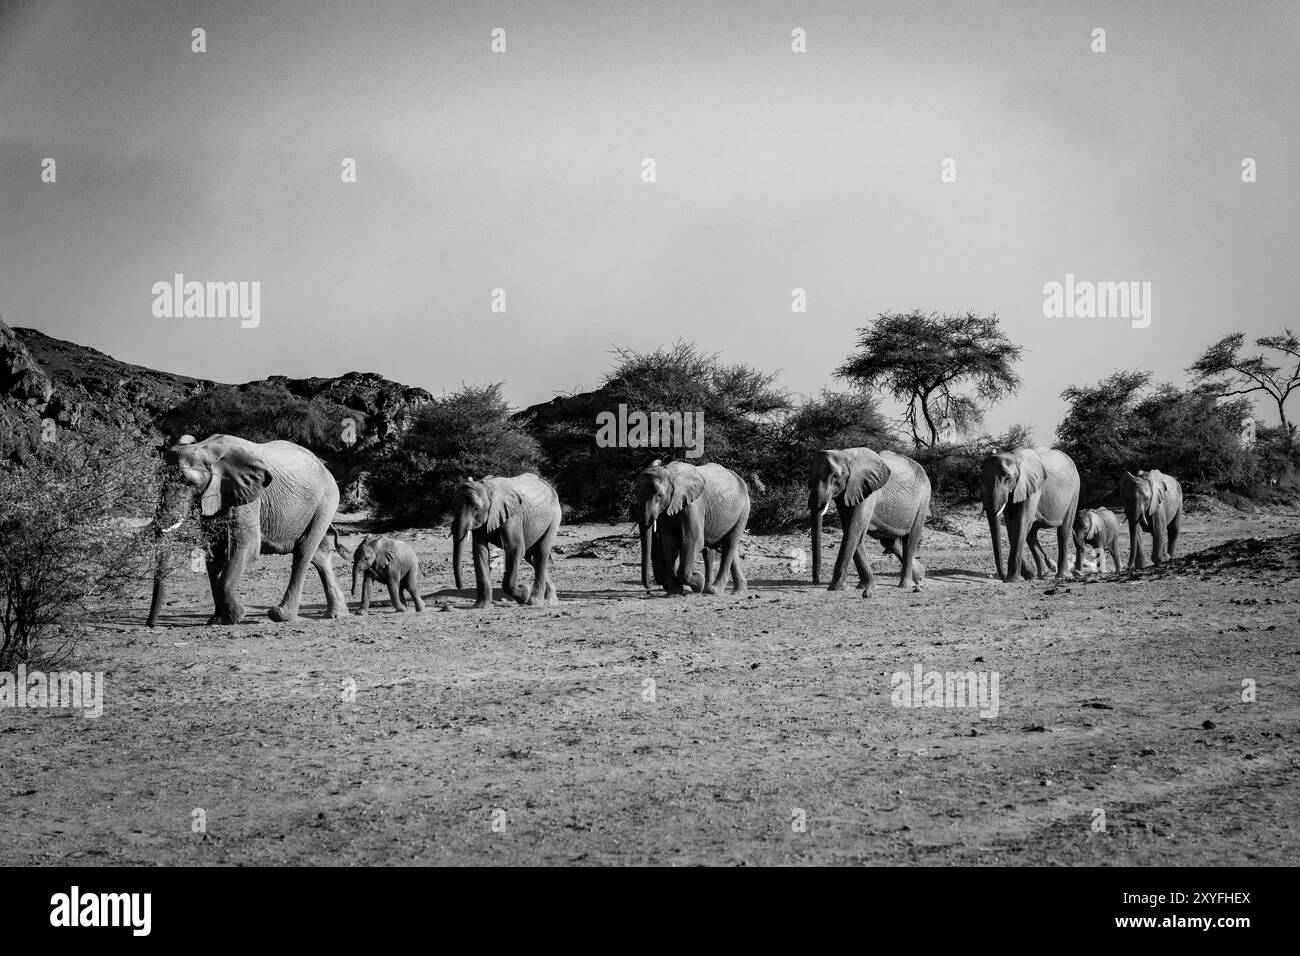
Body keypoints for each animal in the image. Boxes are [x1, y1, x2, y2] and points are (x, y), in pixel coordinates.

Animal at [146, 434, 350, 625]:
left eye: (188, 482)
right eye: (158, 478)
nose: (151, 625)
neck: (206, 448)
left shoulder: (249, 494)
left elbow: (247, 545)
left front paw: (237, 616)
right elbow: (214, 552)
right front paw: (217, 621)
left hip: (326, 502)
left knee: (304, 551)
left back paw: (281, 615)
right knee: (318, 554)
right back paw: (336, 614)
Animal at [452, 473, 561, 609]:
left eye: (476, 508)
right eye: (453, 507)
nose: (460, 587)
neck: (486, 487)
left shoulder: (512, 514)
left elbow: (514, 549)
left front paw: (524, 593)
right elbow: (480, 551)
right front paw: (481, 607)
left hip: (554, 518)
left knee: (541, 553)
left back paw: (535, 602)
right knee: (531, 557)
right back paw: (550, 602)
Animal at [635, 459, 749, 596]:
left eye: (659, 495)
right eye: (636, 494)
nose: (649, 588)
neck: (669, 472)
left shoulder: (694, 504)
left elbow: (693, 540)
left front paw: (698, 581)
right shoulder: (667, 509)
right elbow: (669, 543)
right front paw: (675, 593)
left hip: (743, 510)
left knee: (730, 544)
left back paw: (714, 591)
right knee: (723, 549)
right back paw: (735, 592)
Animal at [808, 448, 929, 595]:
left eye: (835, 477)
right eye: (810, 476)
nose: (816, 582)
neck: (845, 454)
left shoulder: (866, 491)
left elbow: (854, 530)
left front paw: (836, 588)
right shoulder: (848, 492)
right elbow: (851, 531)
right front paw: (866, 587)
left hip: (923, 500)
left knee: (910, 540)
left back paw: (905, 585)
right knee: (889, 542)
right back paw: (920, 575)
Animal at [981, 447, 1080, 583]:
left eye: (1008, 478)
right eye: (981, 478)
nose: (1003, 578)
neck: (1013, 456)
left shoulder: (1032, 487)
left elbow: (1020, 523)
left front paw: (1013, 580)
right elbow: (1011, 527)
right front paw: (1028, 575)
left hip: (1075, 492)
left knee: (1063, 531)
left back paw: (1061, 575)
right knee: (1031, 535)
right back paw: (1042, 573)